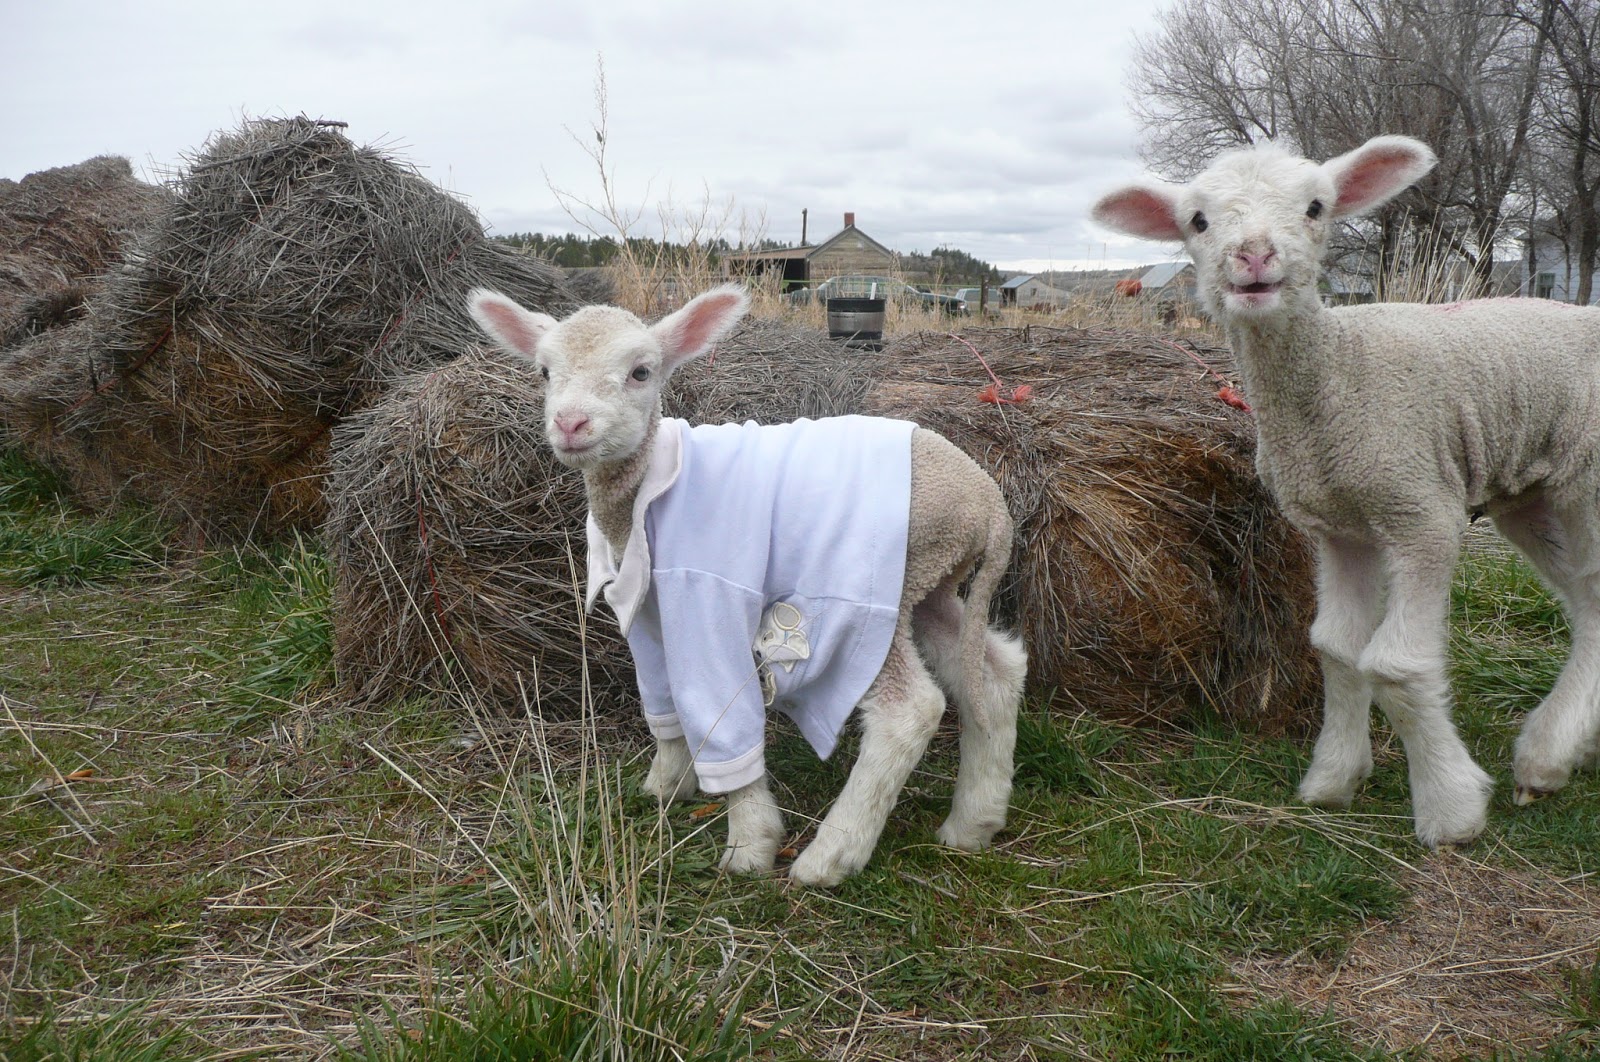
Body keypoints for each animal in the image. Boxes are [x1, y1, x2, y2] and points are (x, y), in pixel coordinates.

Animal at [467, 284, 1027, 886]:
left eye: (641, 371)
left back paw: (829, 857)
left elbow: (719, 719)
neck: (645, 490)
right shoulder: (650, 612)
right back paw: (973, 823)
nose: (570, 424)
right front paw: (664, 787)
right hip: (932, 580)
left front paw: (749, 844)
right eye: (545, 372)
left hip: (872, 598)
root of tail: (991, 507)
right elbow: (664, 705)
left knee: (910, 709)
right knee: (993, 672)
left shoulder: (706, 595)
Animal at [1091, 135, 1600, 849]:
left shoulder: (1419, 508)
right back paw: (1554, 754)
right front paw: (1334, 778)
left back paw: (1546, 753)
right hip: (1533, 492)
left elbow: (1395, 665)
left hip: (1586, 476)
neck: (1336, 371)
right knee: (1588, 597)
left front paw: (1450, 808)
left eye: (1315, 207)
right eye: (1197, 220)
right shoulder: (1337, 526)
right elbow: (1335, 647)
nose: (1254, 256)